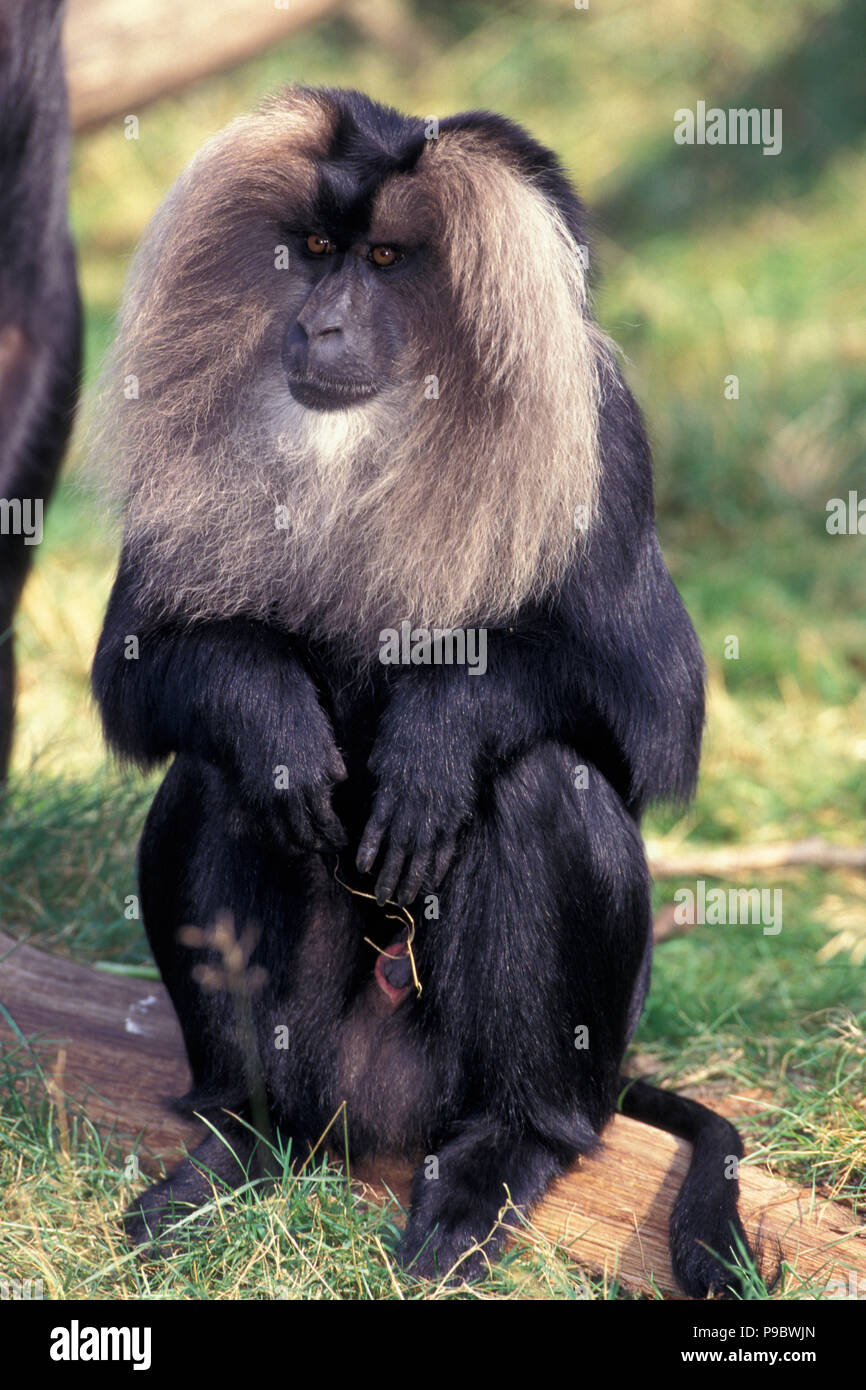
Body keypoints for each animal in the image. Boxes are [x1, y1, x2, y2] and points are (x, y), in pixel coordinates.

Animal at [91, 86, 755, 1297]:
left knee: (542, 785)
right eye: (315, 253)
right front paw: (274, 719)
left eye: (389, 260)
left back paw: (501, 1153)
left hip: (520, 1067)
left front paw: (439, 735)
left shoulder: (605, 440)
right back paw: (237, 1139)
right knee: (215, 777)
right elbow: (141, 667)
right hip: (315, 1055)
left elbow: (656, 711)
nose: (320, 330)